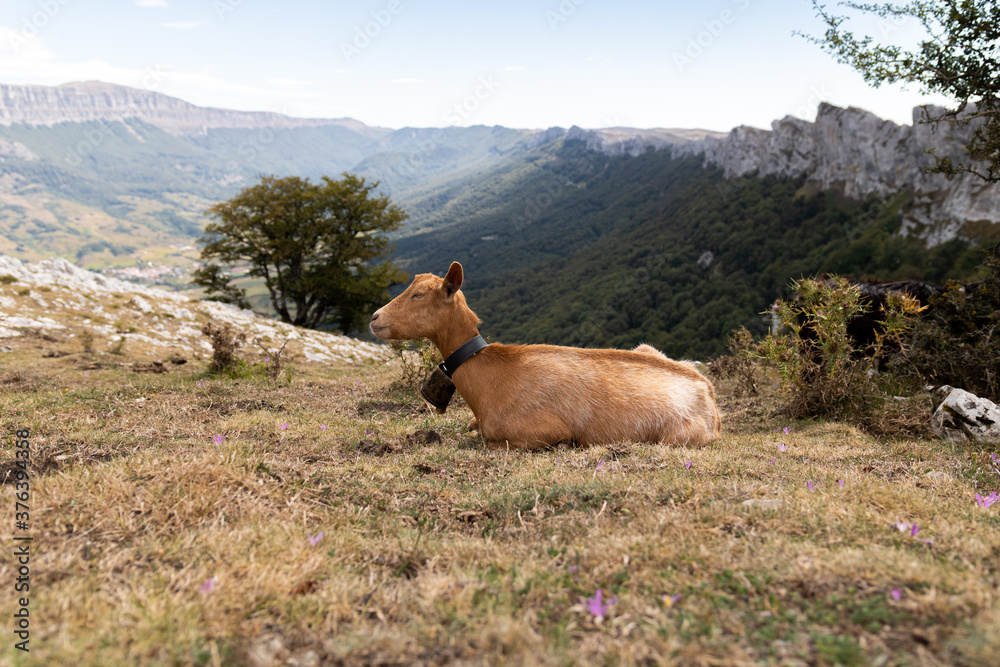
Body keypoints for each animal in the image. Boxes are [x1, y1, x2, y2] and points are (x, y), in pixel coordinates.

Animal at [370, 262, 721, 450]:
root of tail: (708, 391)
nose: (375, 318)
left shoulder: (542, 429)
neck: (487, 380)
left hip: (678, 436)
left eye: (417, 295)